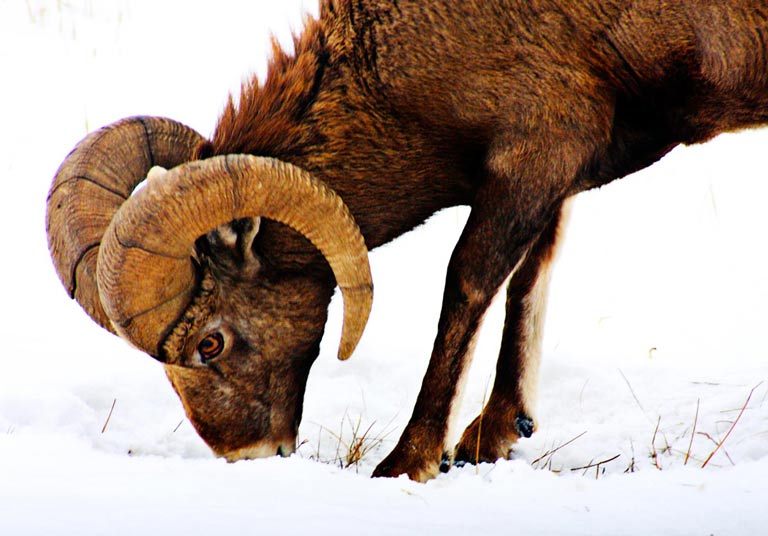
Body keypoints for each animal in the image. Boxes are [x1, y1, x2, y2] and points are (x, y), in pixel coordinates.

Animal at [46, 0, 768, 482]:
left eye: (210, 342)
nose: (247, 457)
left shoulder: (532, 158)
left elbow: (471, 285)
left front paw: (407, 463)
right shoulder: (551, 174)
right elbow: (530, 276)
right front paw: (495, 436)